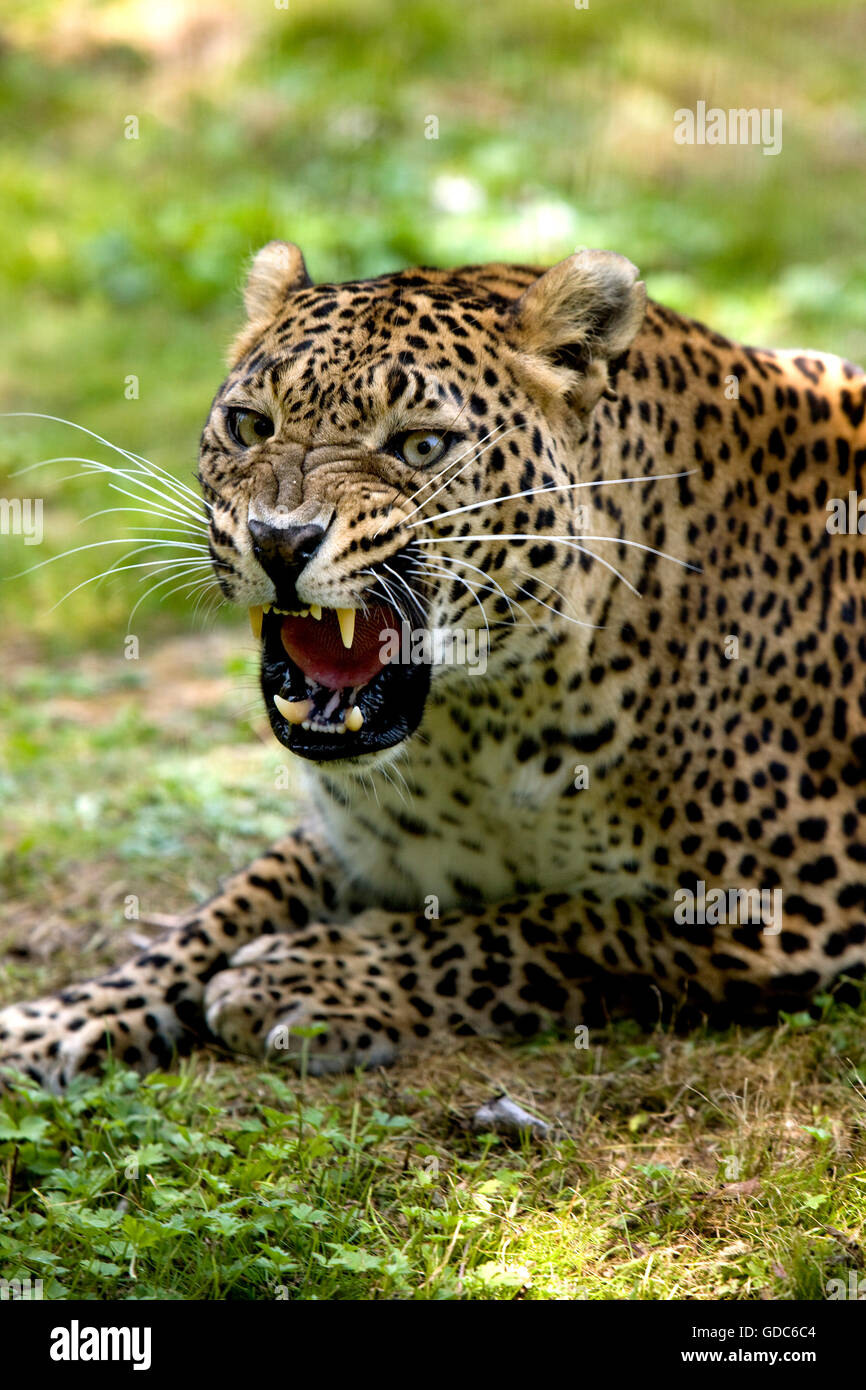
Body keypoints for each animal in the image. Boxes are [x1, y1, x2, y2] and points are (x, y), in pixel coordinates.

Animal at [1, 239, 864, 1090]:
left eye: (420, 446)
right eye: (249, 427)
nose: (279, 541)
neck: (474, 731)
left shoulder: (787, 904)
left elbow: (548, 926)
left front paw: (305, 979)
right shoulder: (347, 841)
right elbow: (220, 910)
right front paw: (60, 1020)